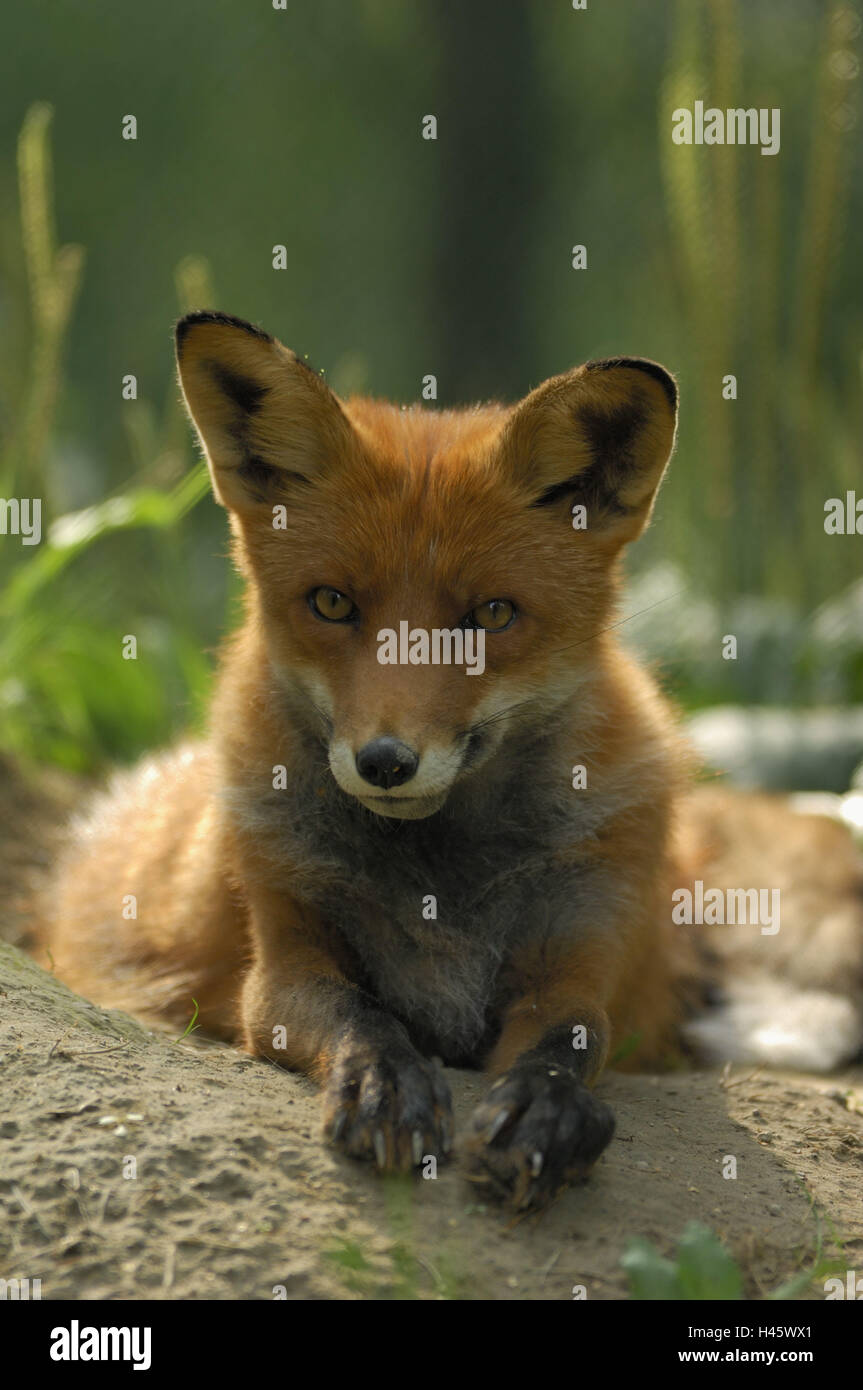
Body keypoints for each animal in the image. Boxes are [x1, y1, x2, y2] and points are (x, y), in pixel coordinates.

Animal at [33, 311, 863, 1211]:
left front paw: (543, 1113)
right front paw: (383, 1085)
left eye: (492, 615)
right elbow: (361, 1015)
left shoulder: (579, 954)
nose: (385, 762)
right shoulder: (278, 965)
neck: (442, 878)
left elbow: (569, 1041)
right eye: (332, 603)